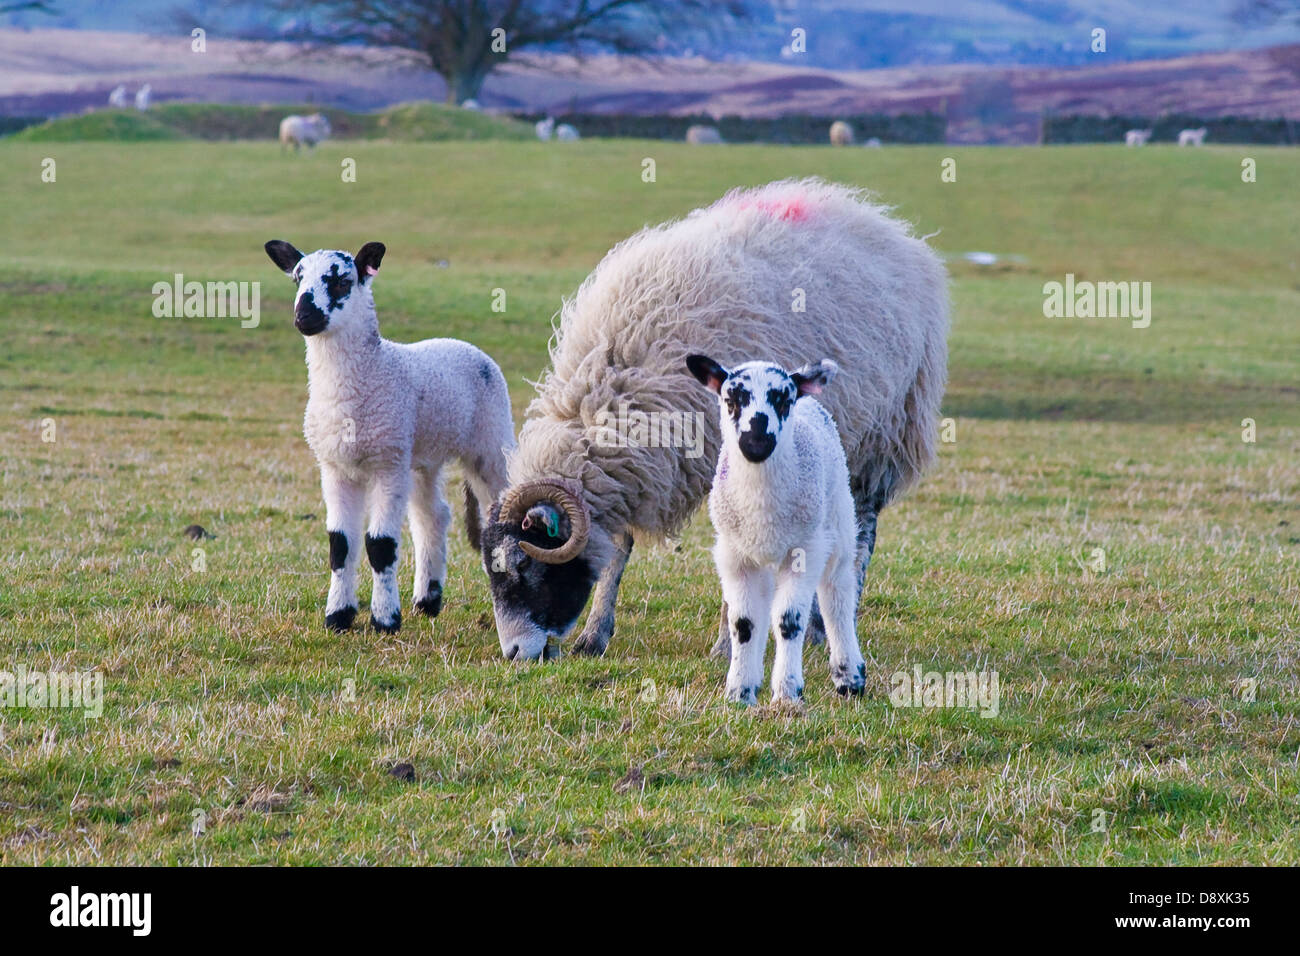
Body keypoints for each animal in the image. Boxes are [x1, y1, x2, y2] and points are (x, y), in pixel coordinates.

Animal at [263, 239, 515, 634]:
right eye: (297, 279)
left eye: (342, 281)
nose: (304, 316)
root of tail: (464, 345)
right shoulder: (335, 468)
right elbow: (340, 544)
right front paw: (338, 616)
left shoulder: (387, 462)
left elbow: (379, 545)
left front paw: (384, 620)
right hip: (421, 456)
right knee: (433, 516)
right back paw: (427, 601)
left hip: (490, 441)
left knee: (501, 517)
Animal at [478, 178, 948, 662]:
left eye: (525, 566)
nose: (514, 653)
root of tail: (879, 221)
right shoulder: (635, 468)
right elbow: (620, 549)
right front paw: (595, 635)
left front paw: (727, 643)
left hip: (883, 436)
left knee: (862, 533)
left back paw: (837, 620)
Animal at [687, 355, 866, 703]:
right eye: (730, 401)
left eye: (784, 401)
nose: (756, 443)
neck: (762, 507)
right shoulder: (734, 556)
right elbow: (743, 623)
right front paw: (739, 692)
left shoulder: (805, 550)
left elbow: (789, 621)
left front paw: (787, 692)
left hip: (837, 519)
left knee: (836, 594)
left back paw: (849, 676)